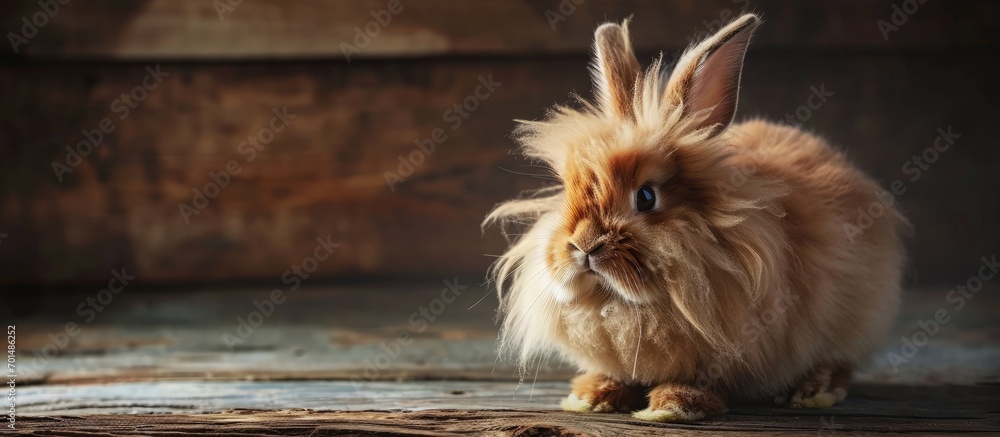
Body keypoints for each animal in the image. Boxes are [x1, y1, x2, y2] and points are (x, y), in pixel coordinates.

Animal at [483, 13, 905, 422]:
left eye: (646, 197)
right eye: (567, 188)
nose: (583, 245)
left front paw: (672, 406)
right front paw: (590, 395)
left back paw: (812, 391)